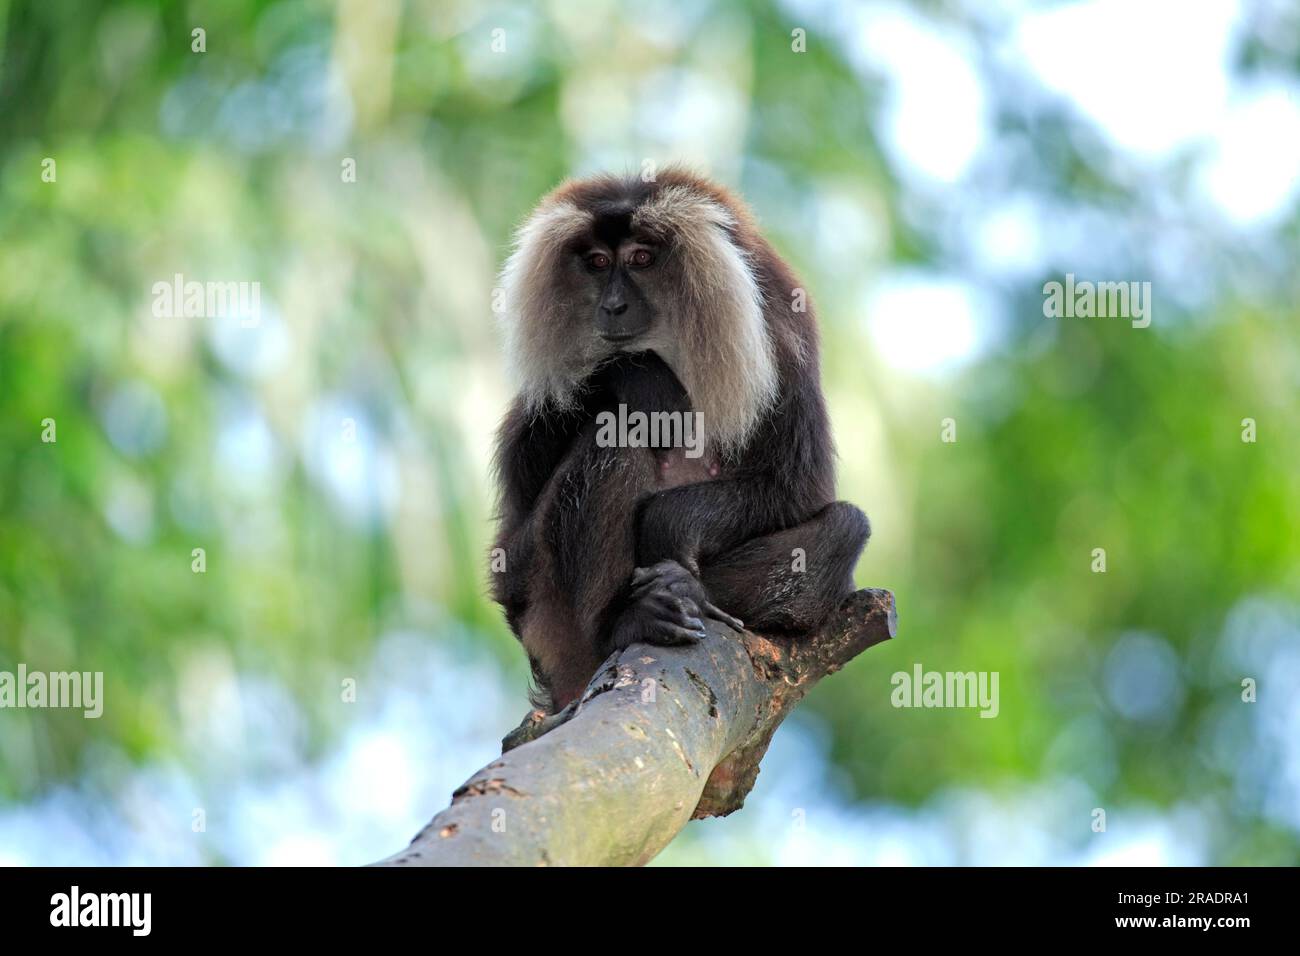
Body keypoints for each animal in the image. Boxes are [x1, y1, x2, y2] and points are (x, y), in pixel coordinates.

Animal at [490, 168, 870, 713]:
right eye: (598, 262)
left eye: (641, 258)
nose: (613, 305)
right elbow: (515, 515)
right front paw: (641, 377)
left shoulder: (781, 324)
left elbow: (798, 489)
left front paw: (669, 533)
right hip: (547, 615)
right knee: (616, 439)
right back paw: (621, 624)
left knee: (847, 525)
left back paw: (683, 587)